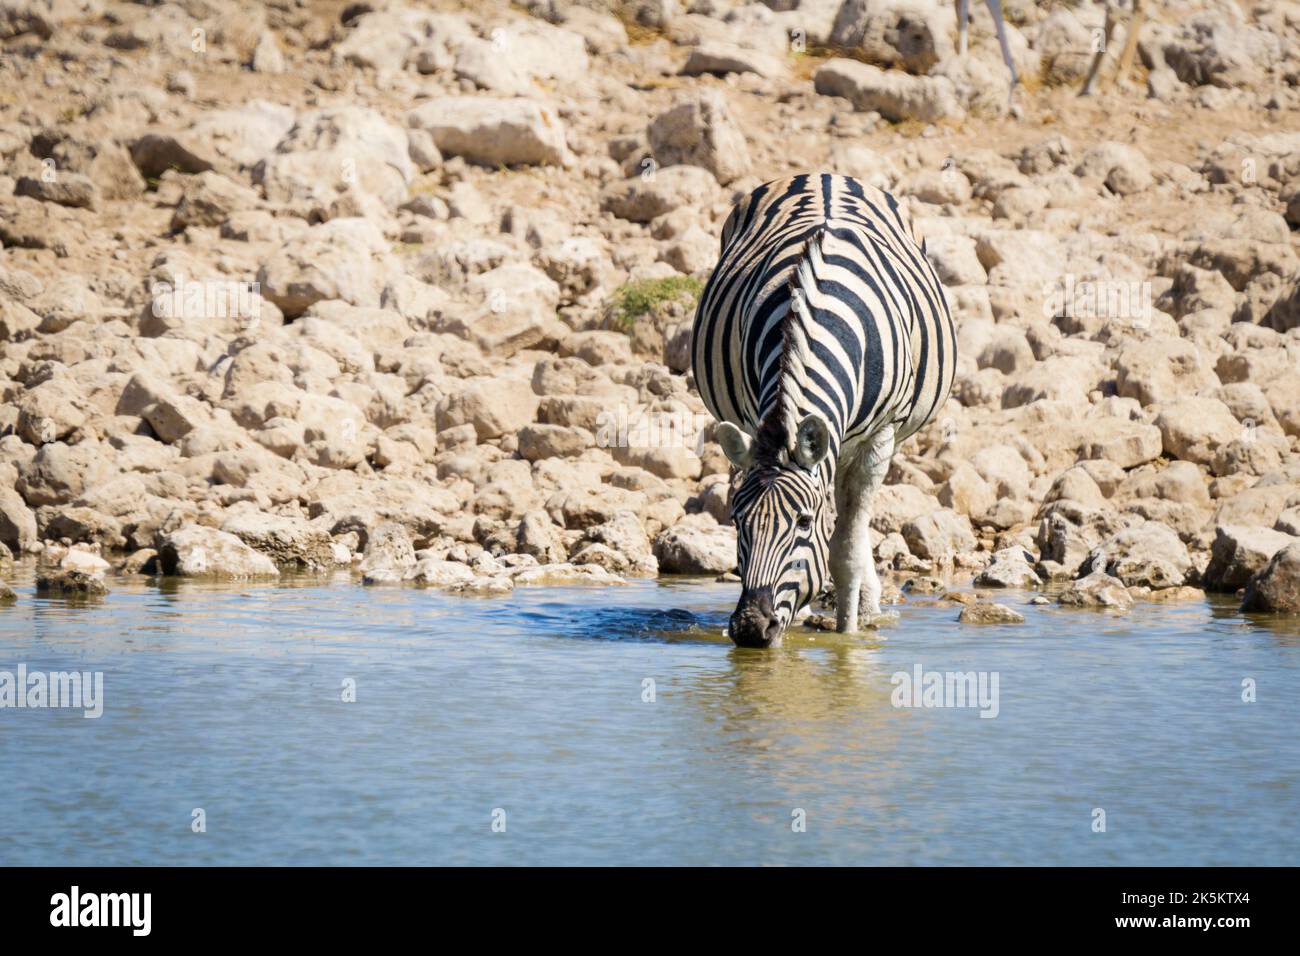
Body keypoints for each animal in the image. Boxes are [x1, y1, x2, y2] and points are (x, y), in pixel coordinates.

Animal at [693, 174, 956, 648]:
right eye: (737, 521)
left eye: (801, 523)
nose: (751, 629)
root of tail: (824, 175)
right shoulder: (755, 419)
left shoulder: (880, 436)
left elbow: (844, 550)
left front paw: (848, 637)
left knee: (852, 522)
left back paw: (866, 607)